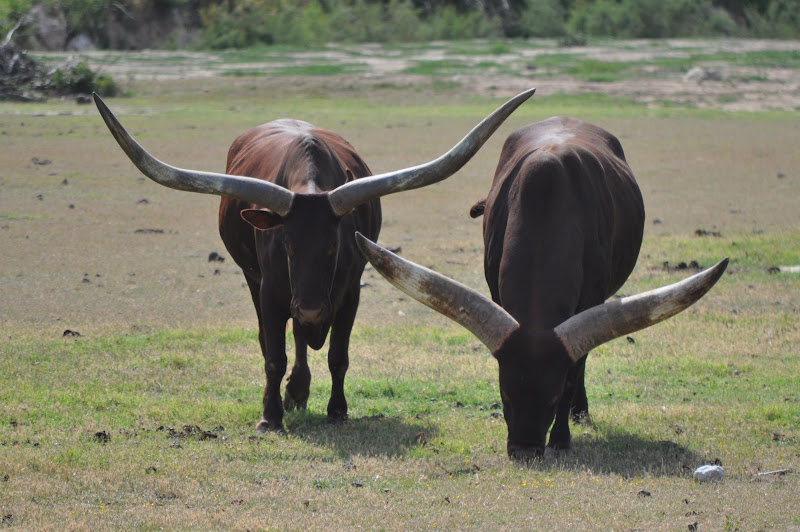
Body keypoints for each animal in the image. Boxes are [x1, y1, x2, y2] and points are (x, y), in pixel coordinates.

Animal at [92, 89, 534, 432]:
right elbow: (274, 354)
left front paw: (336, 411)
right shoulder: (272, 291)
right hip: (258, 283)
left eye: (333, 245)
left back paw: (300, 389)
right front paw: (270, 416)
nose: (309, 307)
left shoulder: (349, 291)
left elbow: (338, 355)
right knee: (276, 339)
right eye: (286, 244)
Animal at [355, 116, 727, 460]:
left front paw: (562, 437)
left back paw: (581, 413)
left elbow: (575, 369)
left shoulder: (589, 303)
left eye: (551, 398)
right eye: (505, 394)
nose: (524, 450)